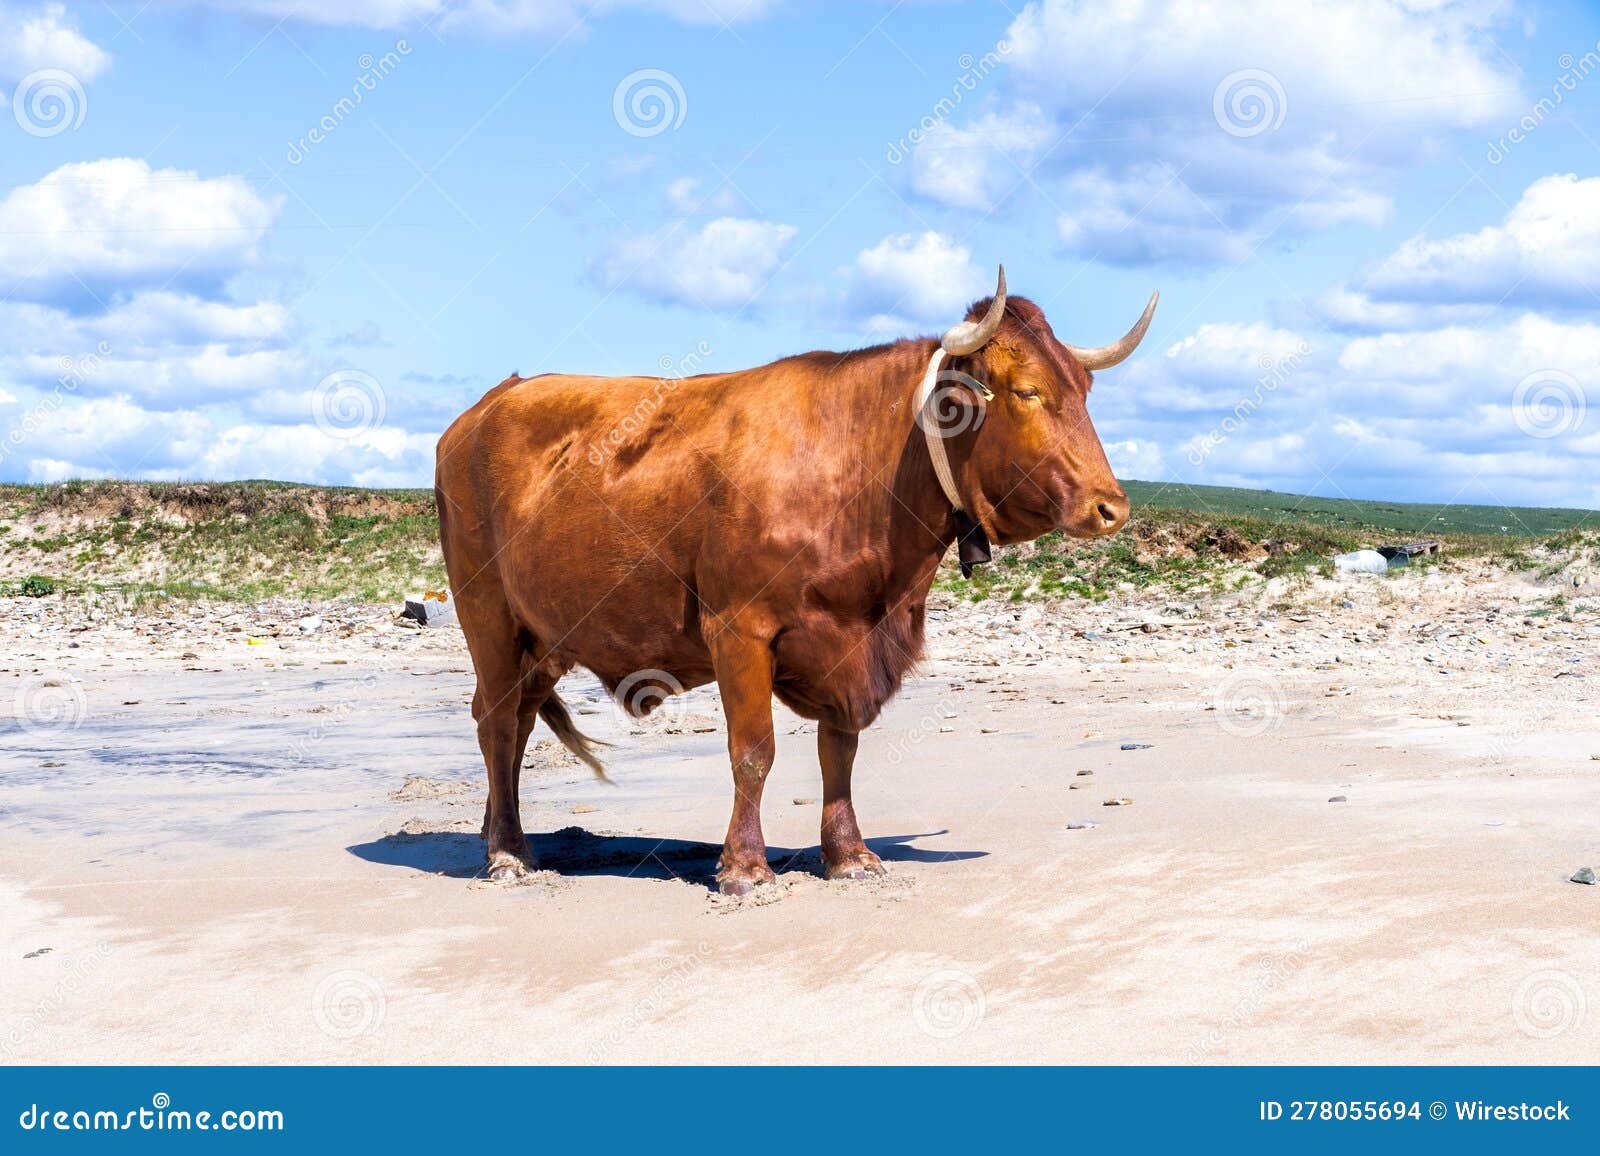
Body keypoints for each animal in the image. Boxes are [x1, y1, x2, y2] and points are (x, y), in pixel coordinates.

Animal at [434, 268, 1156, 893]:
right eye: (1027, 390)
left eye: (1085, 391)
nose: (1111, 506)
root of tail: (492, 401)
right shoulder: (739, 629)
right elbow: (753, 752)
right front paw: (745, 868)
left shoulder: (852, 642)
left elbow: (839, 752)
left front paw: (848, 855)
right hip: (487, 615)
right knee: (496, 723)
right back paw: (506, 854)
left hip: (543, 635)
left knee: (518, 723)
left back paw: (508, 837)